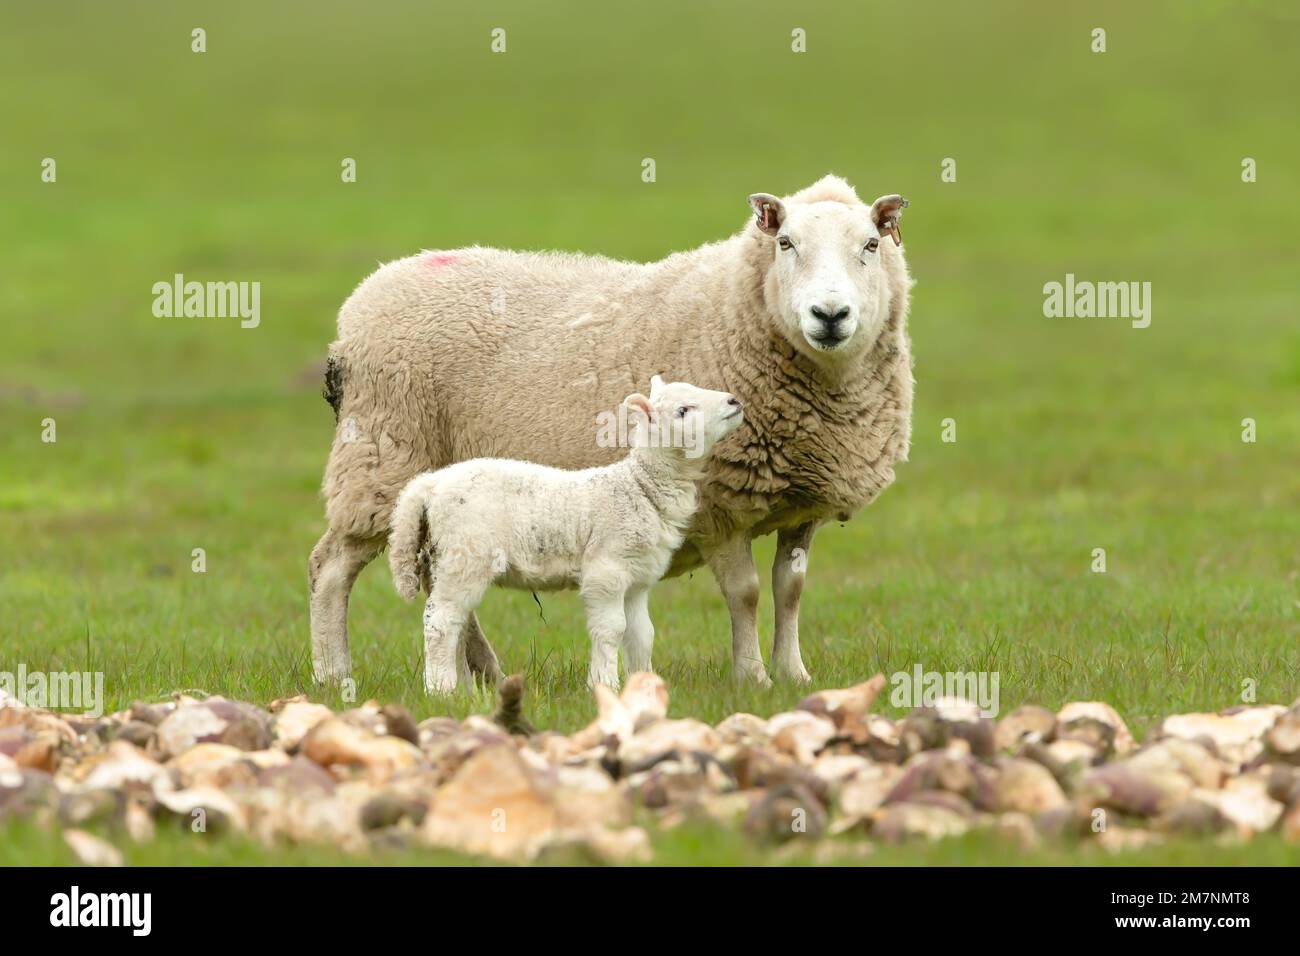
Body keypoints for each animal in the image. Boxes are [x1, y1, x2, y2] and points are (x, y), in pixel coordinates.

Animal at [387, 377, 744, 693]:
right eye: (683, 410)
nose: (734, 401)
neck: (640, 487)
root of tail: (429, 485)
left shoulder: (637, 579)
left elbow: (642, 634)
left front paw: (645, 684)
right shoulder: (606, 570)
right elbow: (612, 629)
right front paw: (604, 685)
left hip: (446, 558)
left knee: (454, 623)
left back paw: (462, 690)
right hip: (467, 553)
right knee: (441, 622)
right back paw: (441, 690)